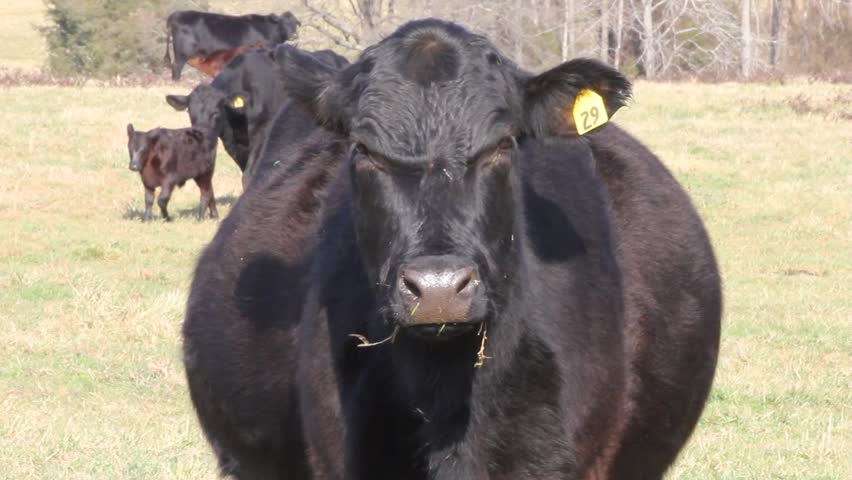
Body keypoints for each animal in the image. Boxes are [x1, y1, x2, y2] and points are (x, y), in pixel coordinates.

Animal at [164, 10, 300, 80]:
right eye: (283, 24)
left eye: (295, 24)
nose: (294, 35)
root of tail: (176, 14)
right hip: (183, 51)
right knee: (176, 66)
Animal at [166, 47, 349, 187]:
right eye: (190, 112)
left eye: (216, 111)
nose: (200, 134)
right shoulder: (232, 143)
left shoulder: (262, 132)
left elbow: (249, 174)